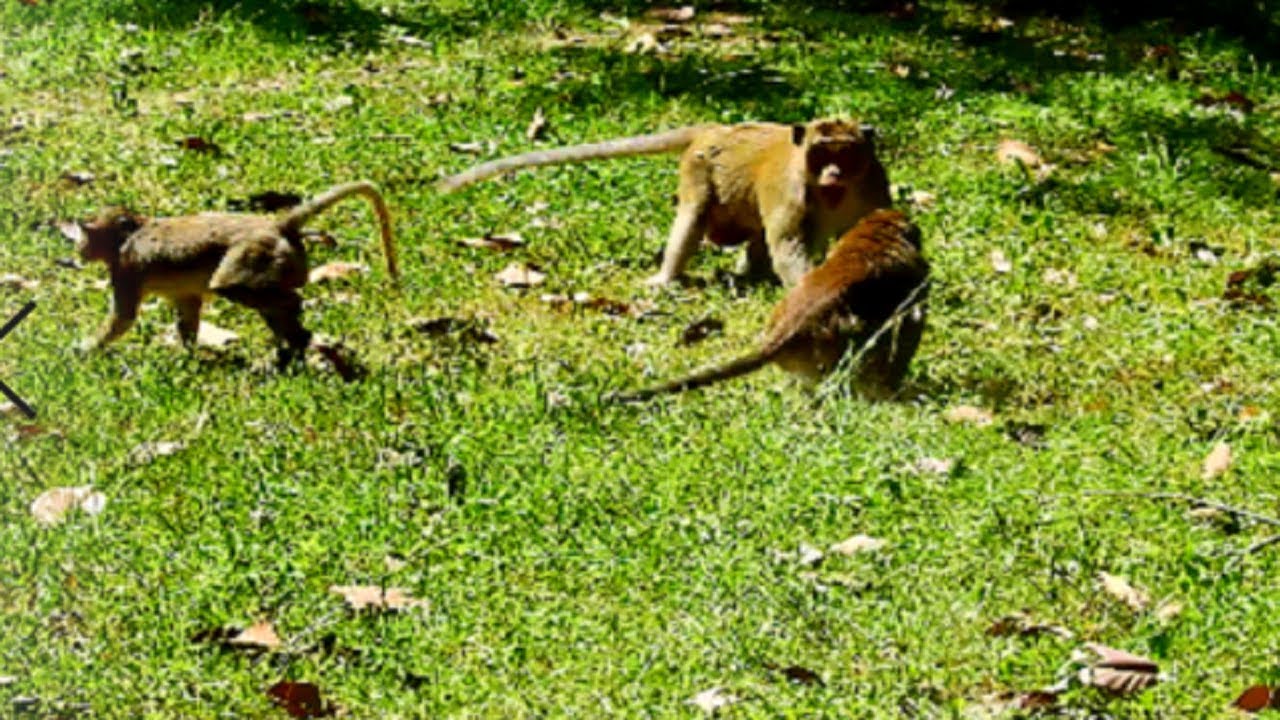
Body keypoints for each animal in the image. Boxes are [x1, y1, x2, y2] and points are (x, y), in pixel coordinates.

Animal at [73, 180, 398, 366]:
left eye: (86, 238)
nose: (79, 251)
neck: (129, 234)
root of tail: (277, 226)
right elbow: (188, 308)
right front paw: (188, 356)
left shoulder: (125, 268)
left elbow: (123, 318)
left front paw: (84, 349)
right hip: (286, 260)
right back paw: (295, 345)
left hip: (256, 254)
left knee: (234, 287)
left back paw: (294, 326)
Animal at [437, 119, 892, 287]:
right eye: (821, 153)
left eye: (847, 154)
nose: (832, 175)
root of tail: (714, 129)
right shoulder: (791, 191)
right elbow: (790, 247)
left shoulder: (873, 182)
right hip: (697, 168)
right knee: (693, 217)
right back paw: (667, 277)